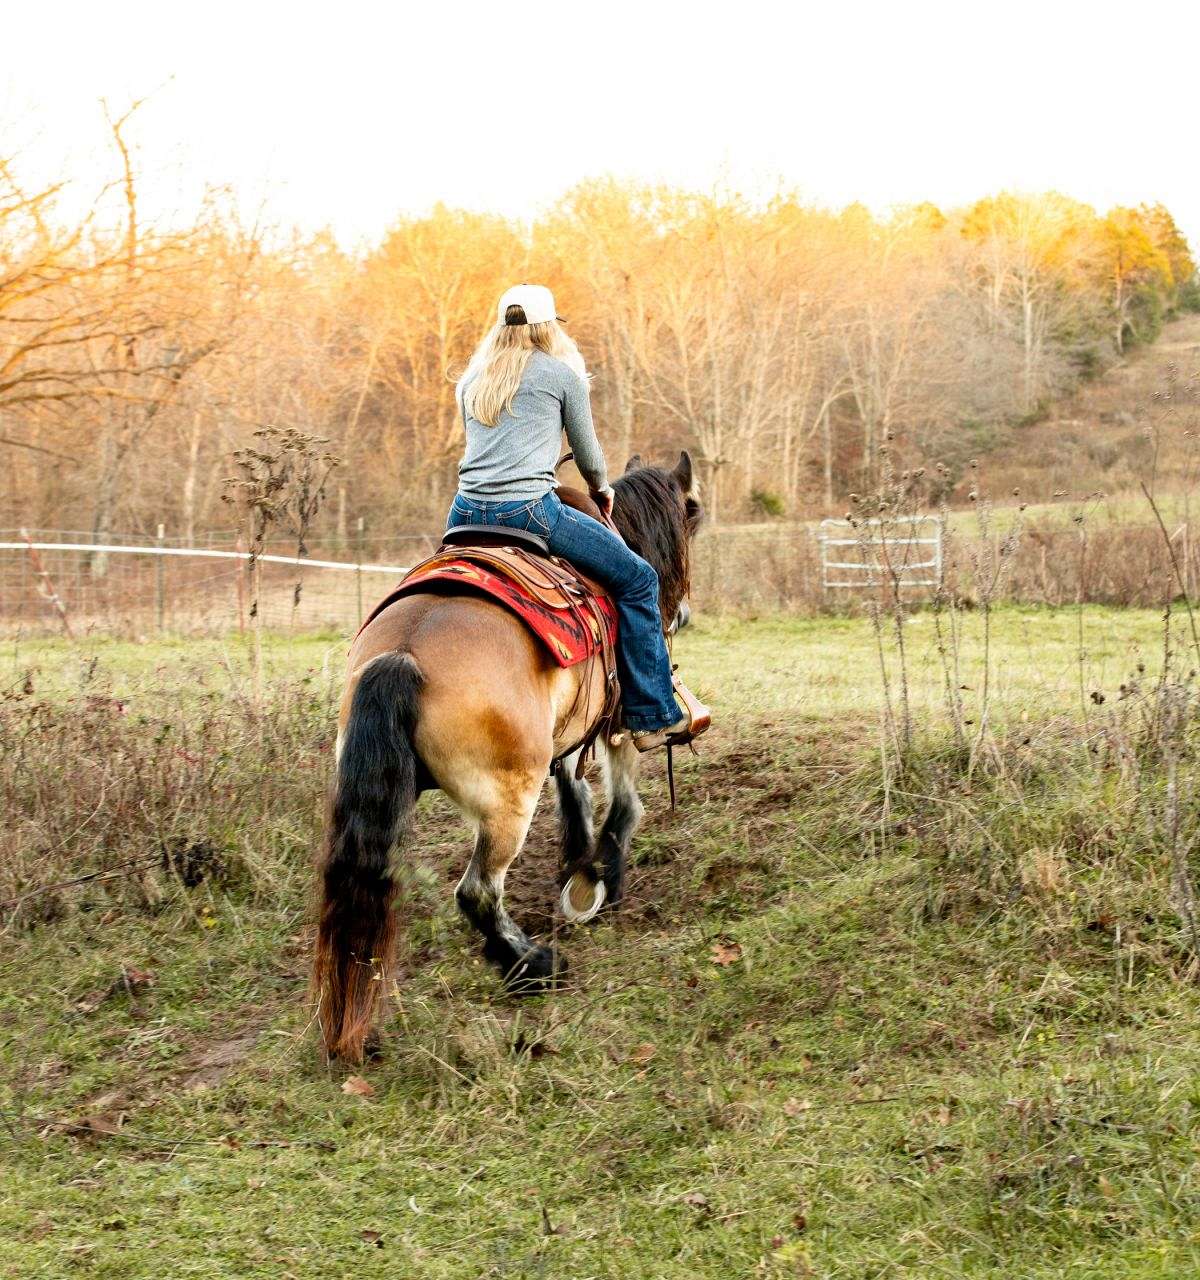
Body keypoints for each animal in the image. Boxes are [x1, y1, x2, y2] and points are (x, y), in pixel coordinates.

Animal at [313, 451, 704, 1062]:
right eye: (693, 513)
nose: (681, 611)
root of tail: (404, 653)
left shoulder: (568, 728)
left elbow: (573, 787)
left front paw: (577, 861)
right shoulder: (617, 721)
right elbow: (623, 801)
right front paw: (602, 876)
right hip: (507, 804)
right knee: (477, 891)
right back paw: (533, 966)